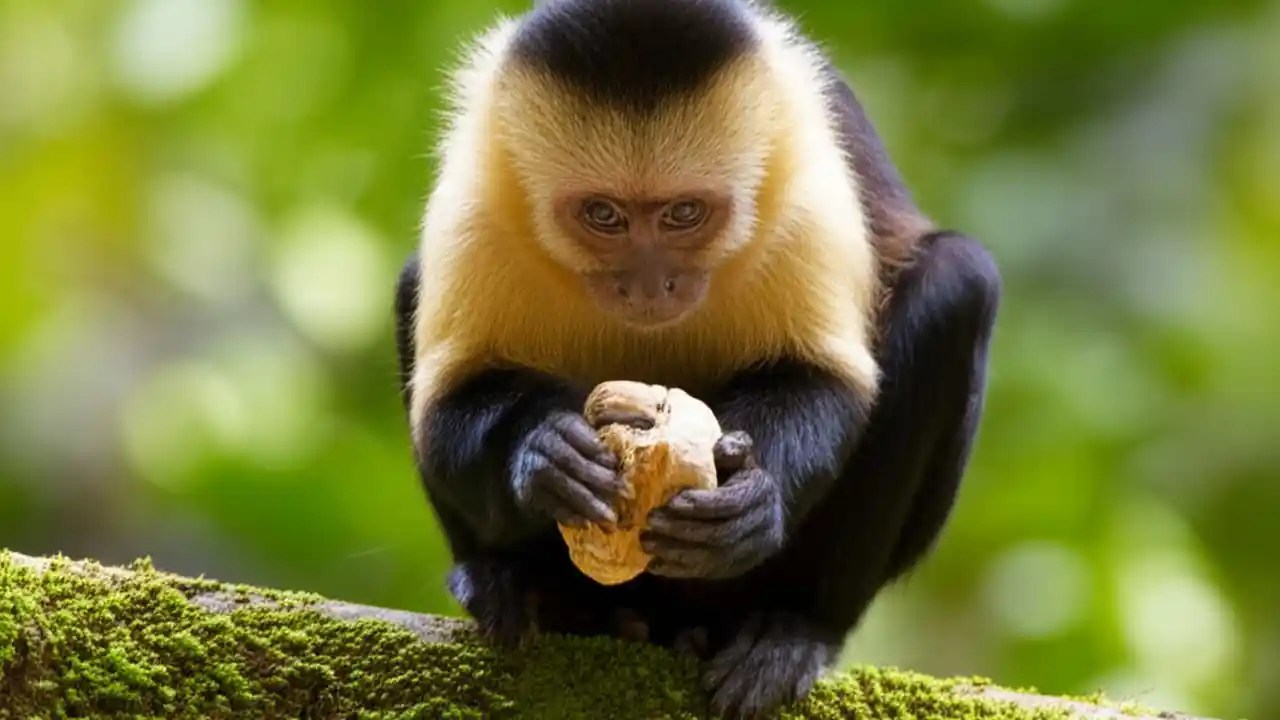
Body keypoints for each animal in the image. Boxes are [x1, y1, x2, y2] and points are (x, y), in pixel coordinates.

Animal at [392, 1, 1001, 718]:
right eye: (604, 215)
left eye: (683, 213)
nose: (650, 285)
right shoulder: (481, 194)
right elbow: (450, 403)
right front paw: (542, 455)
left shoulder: (800, 179)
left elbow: (824, 380)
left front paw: (751, 498)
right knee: (411, 288)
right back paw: (518, 587)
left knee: (956, 283)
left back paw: (793, 629)